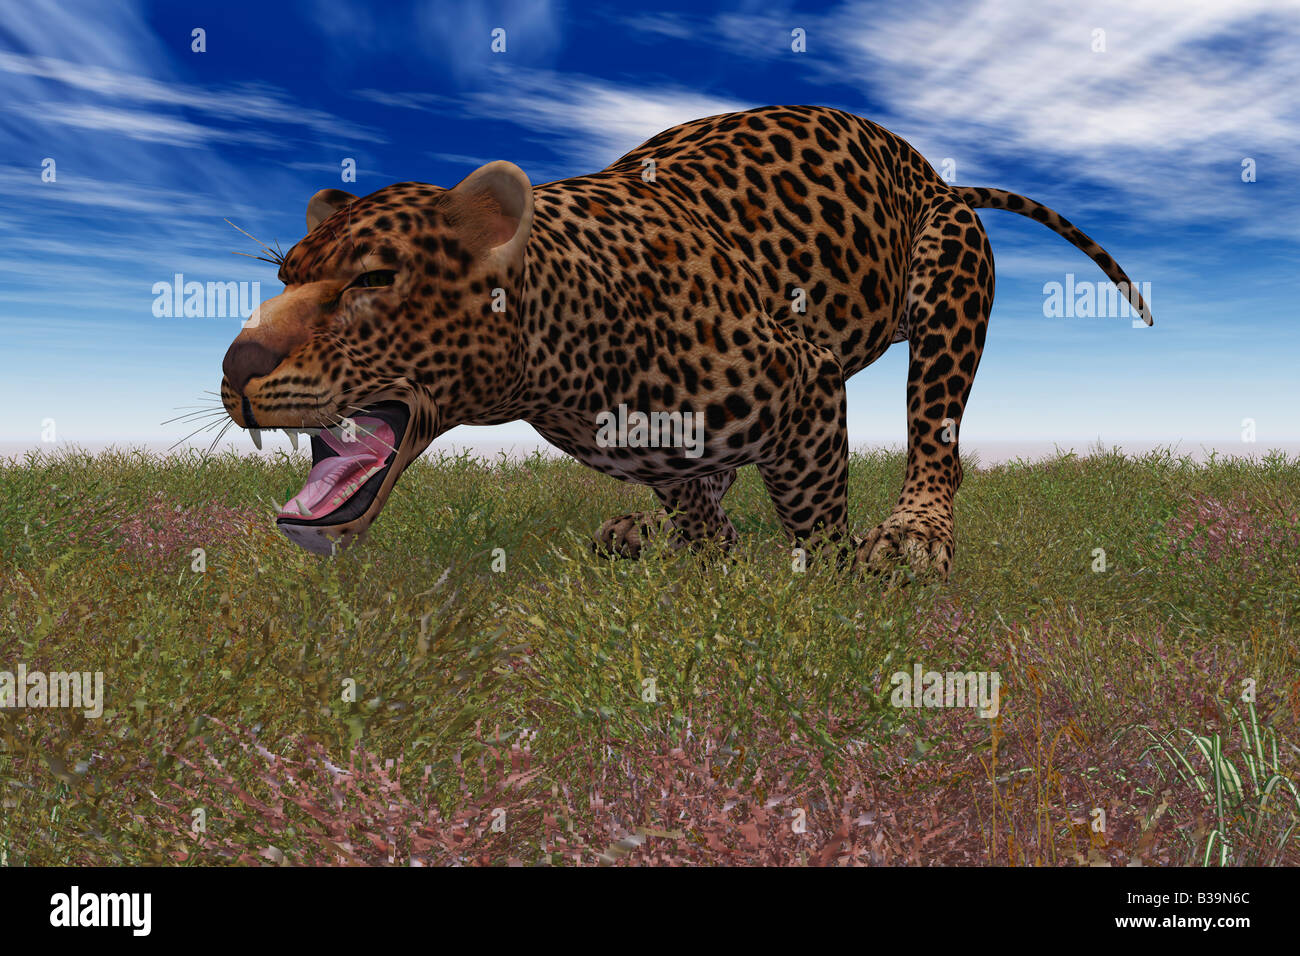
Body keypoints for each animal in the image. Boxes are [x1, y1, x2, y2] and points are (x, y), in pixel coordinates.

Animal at [219, 105, 1151, 578]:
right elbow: (691, 497)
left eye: (373, 280)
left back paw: (914, 535)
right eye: (282, 277)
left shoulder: (807, 380)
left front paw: (830, 584)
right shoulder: (659, 442)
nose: (235, 367)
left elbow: (814, 513)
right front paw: (705, 554)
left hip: (948, 281)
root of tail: (932, 172)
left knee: (937, 433)